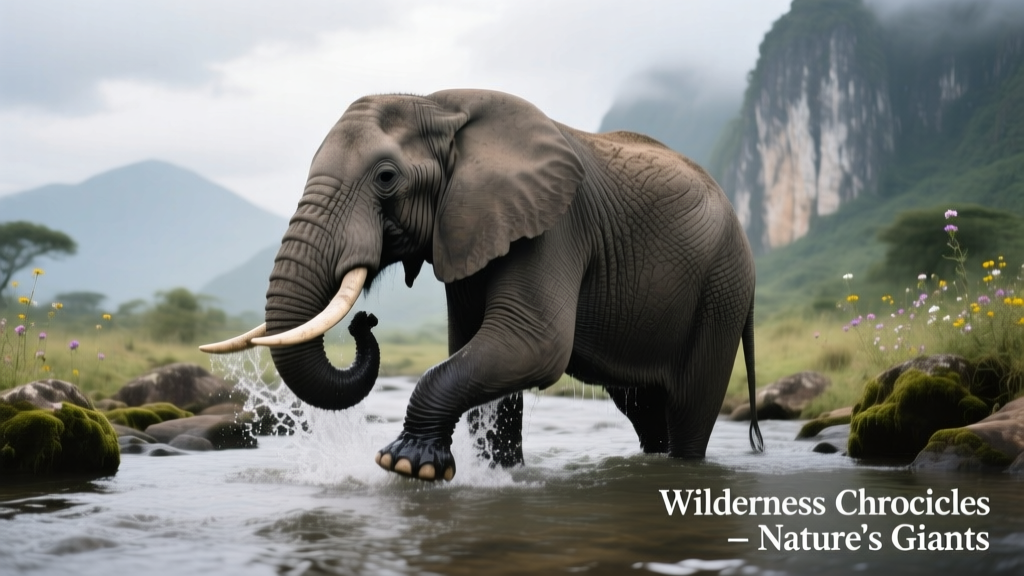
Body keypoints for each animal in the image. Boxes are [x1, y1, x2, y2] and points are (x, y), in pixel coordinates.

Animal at [202, 89, 763, 481]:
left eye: (385, 177)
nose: (365, 321)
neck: (439, 106)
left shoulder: (555, 225)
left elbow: (531, 344)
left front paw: (408, 465)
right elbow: (477, 347)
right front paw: (496, 475)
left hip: (722, 288)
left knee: (689, 407)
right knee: (646, 409)